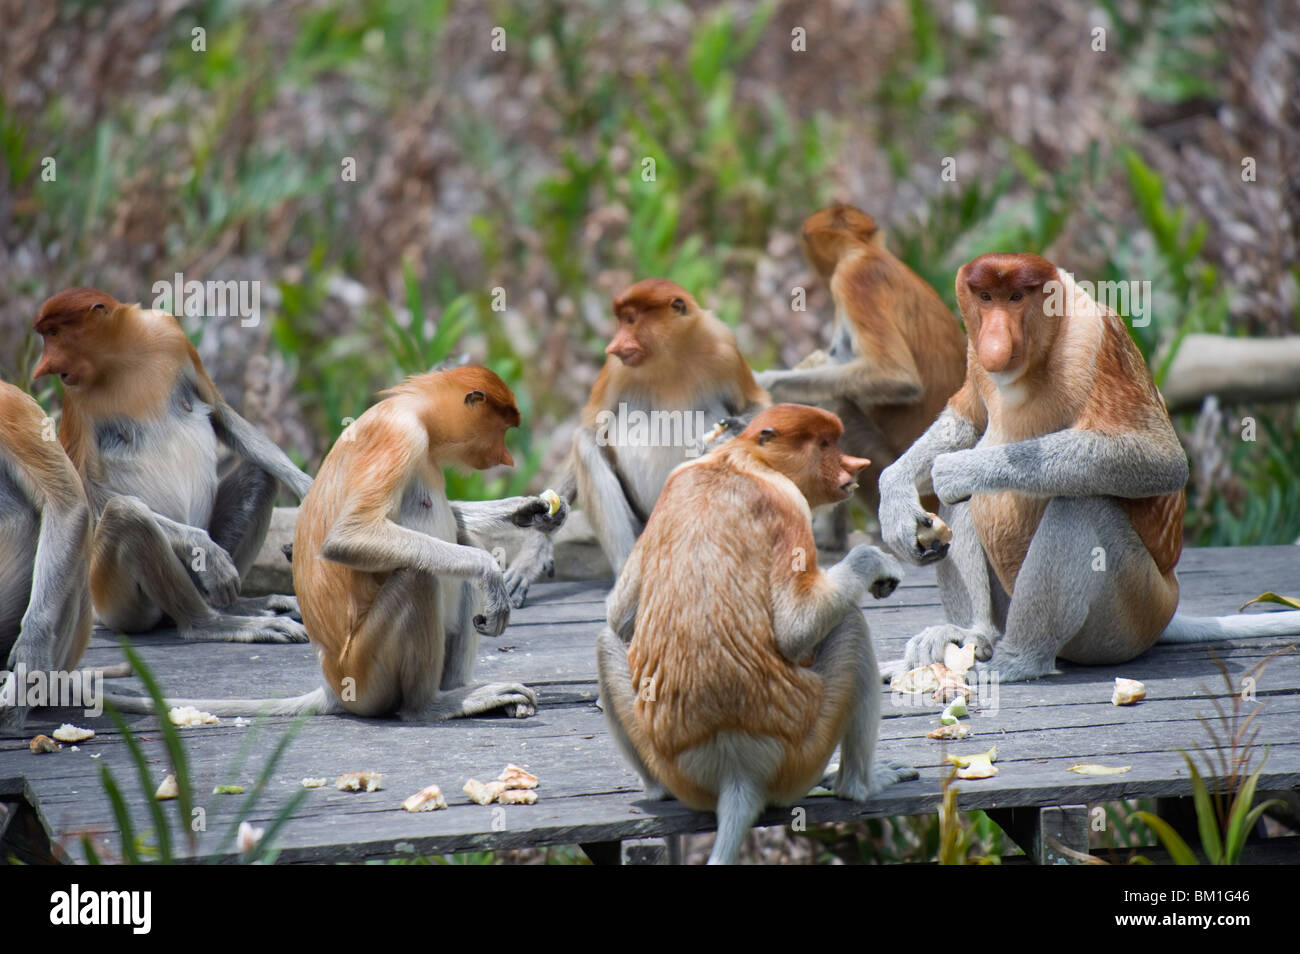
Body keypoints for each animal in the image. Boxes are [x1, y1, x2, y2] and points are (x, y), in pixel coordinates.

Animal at [33, 288, 313, 644]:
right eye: (46, 335)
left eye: (55, 334)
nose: (44, 367)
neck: (120, 360)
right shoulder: (76, 395)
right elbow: (86, 492)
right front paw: (204, 549)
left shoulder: (172, 337)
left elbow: (220, 414)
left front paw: (309, 488)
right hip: (113, 601)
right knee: (128, 515)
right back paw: (211, 623)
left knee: (259, 474)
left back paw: (240, 608)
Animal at [104, 366, 568, 720]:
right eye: (502, 429)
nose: (507, 459)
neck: (418, 415)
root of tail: (331, 683)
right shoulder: (398, 438)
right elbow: (349, 537)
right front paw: (492, 572)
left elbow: (452, 518)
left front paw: (529, 510)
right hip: (365, 672)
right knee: (418, 574)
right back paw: (433, 705)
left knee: (456, 540)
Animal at [504, 278, 768, 606]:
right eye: (621, 321)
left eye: (631, 320)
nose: (613, 344)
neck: (671, 355)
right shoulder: (617, 369)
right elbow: (589, 428)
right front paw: (531, 557)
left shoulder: (726, 349)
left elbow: (757, 405)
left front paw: (733, 431)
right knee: (586, 442)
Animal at [596, 403, 916, 864]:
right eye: (824, 443)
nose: (855, 466)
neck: (741, 460)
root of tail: (736, 768)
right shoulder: (788, 502)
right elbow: (794, 630)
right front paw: (874, 563)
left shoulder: (675, 479)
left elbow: (620, 616)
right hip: (801, 753)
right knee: (852, 627)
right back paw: (861, 785)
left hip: (674, 764)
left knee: (606, 640)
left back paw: (656, 793)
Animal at [877, 254, 1300, 684]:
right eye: (985, 297)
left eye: (1016, 298)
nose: (994, 341)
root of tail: (1169, 608)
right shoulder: (975, 358)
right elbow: (967, 422)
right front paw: (896, 501)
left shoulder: (1096, 339)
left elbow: (1161, 458)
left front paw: (959, 468)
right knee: (968, 502)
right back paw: (970, 636)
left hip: (1134, 611)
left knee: (1080, 504)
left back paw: (1017, 661)